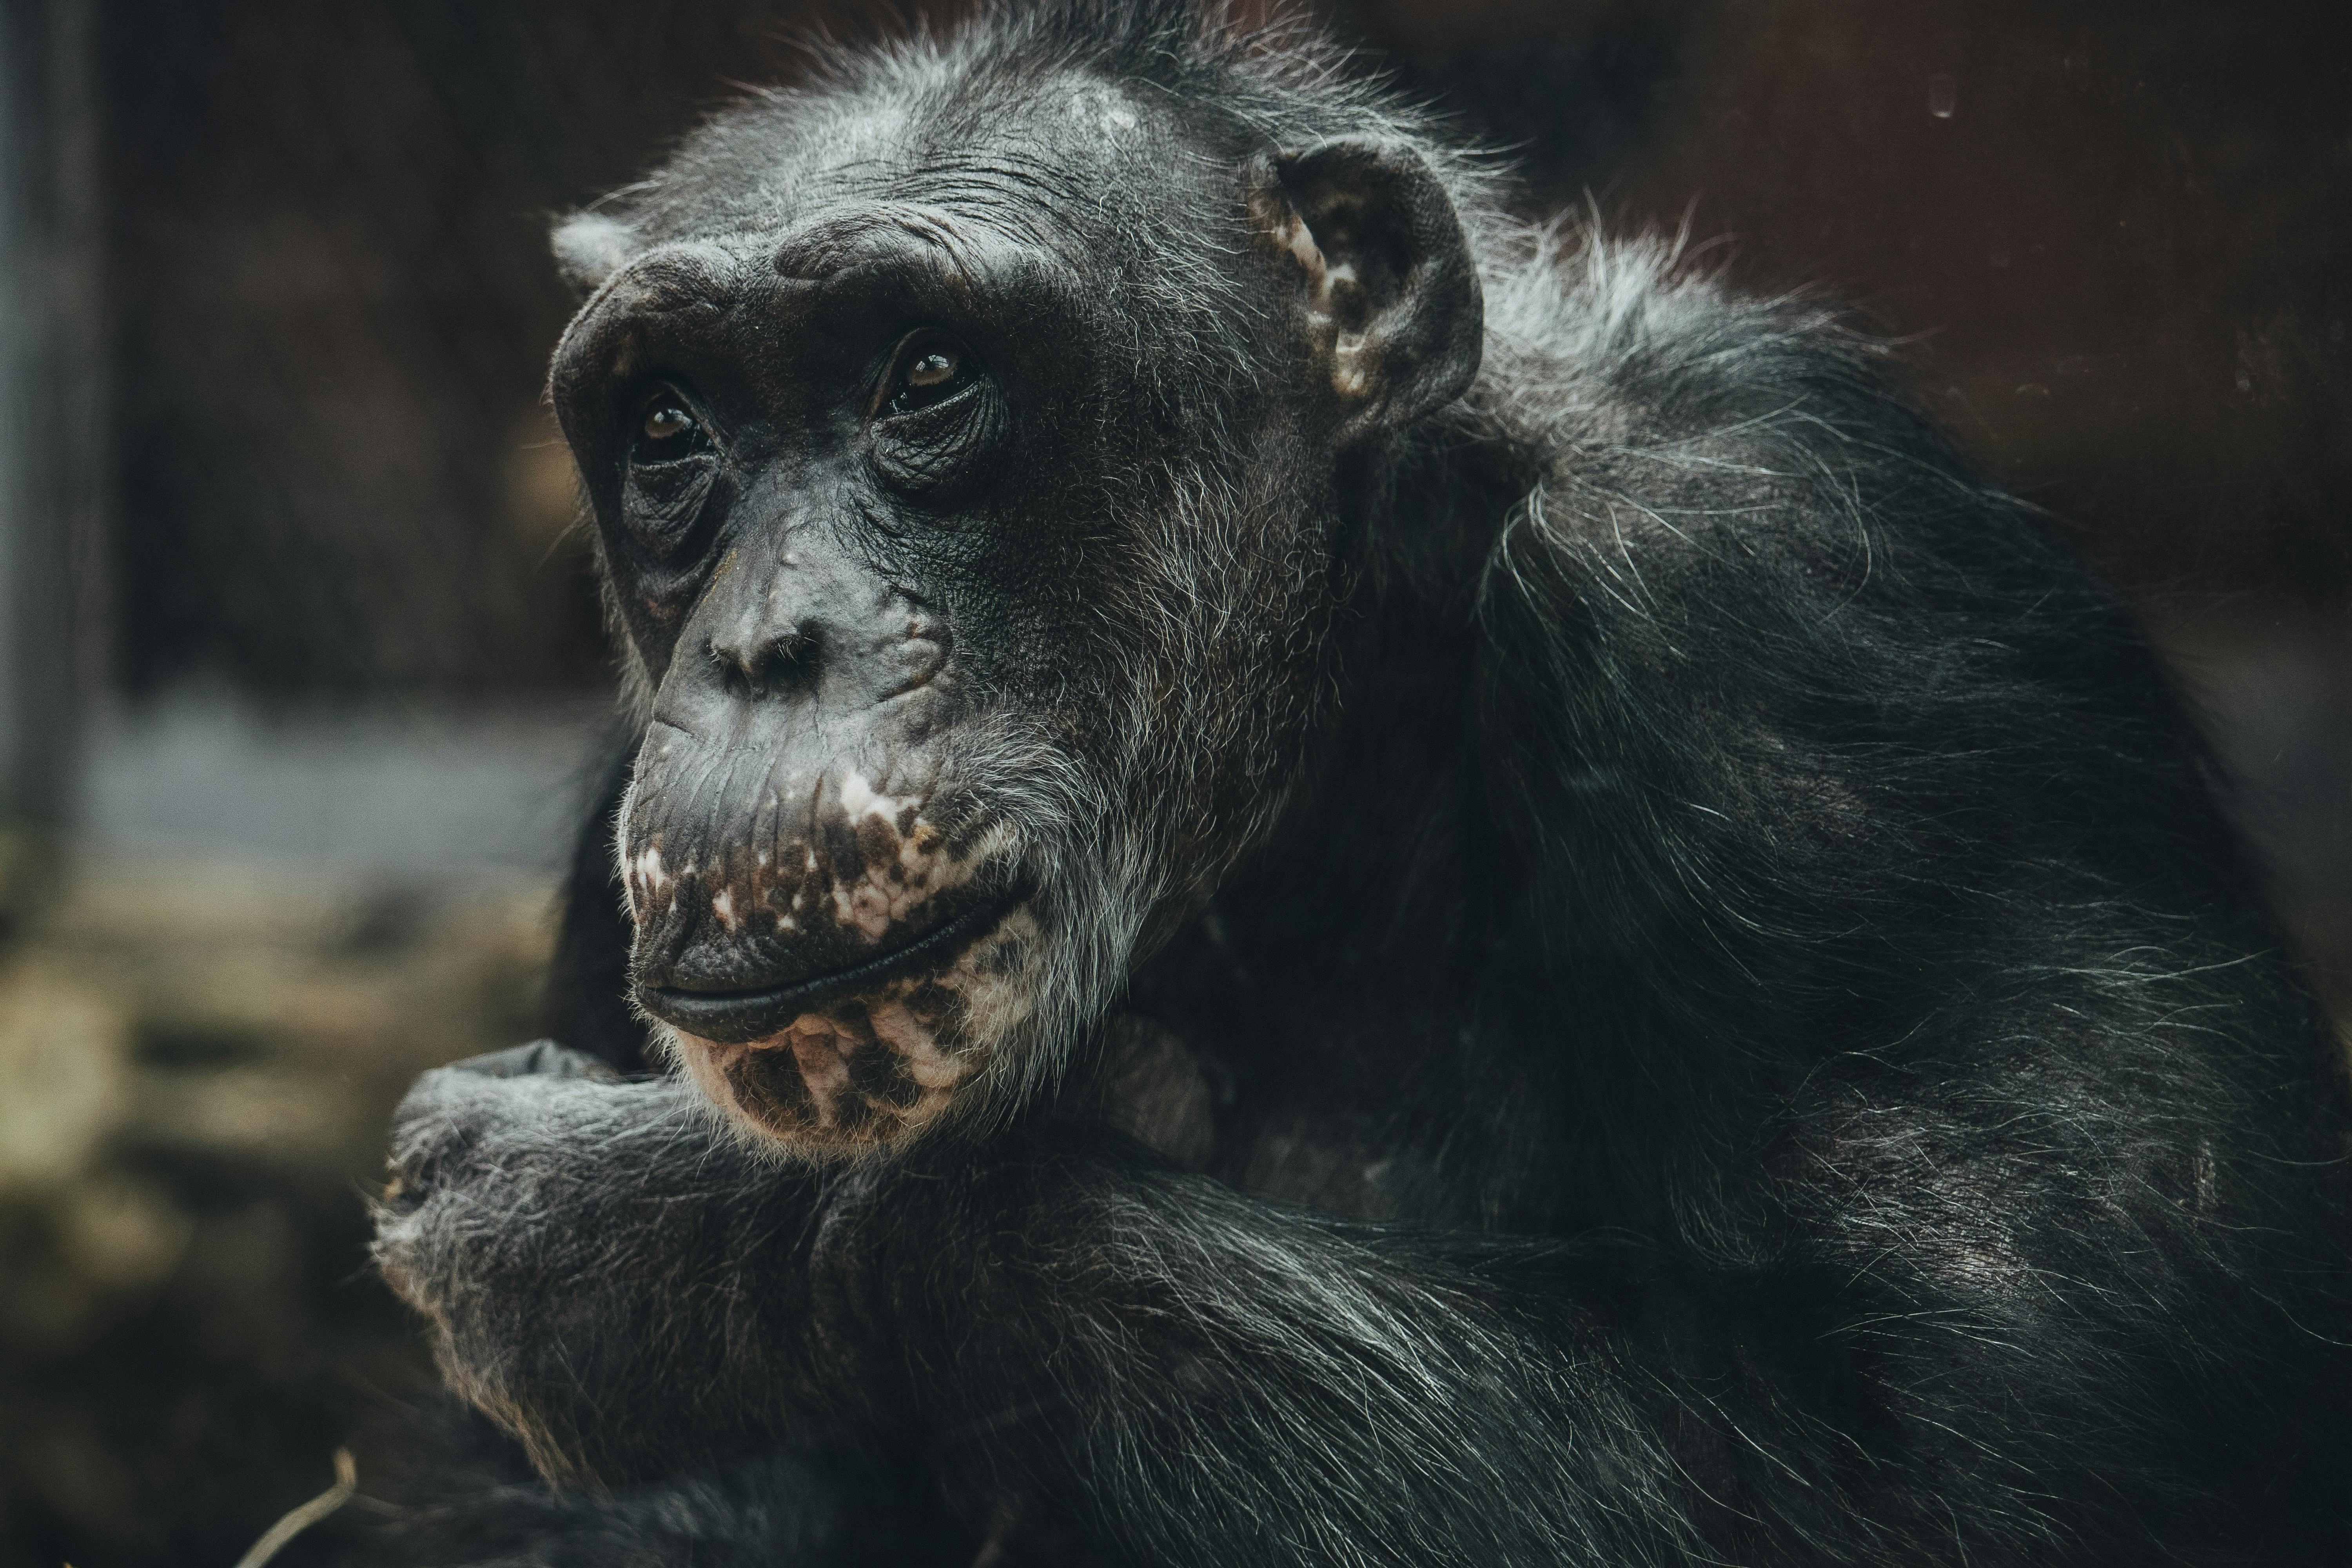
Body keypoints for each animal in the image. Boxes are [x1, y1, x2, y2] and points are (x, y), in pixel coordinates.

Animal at [367, 3, 2352, 1563]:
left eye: (924, 377)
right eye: (669, 429)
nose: (769, 643)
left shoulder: (1818, 640)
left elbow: (1959, 1454)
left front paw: (655, 1237)